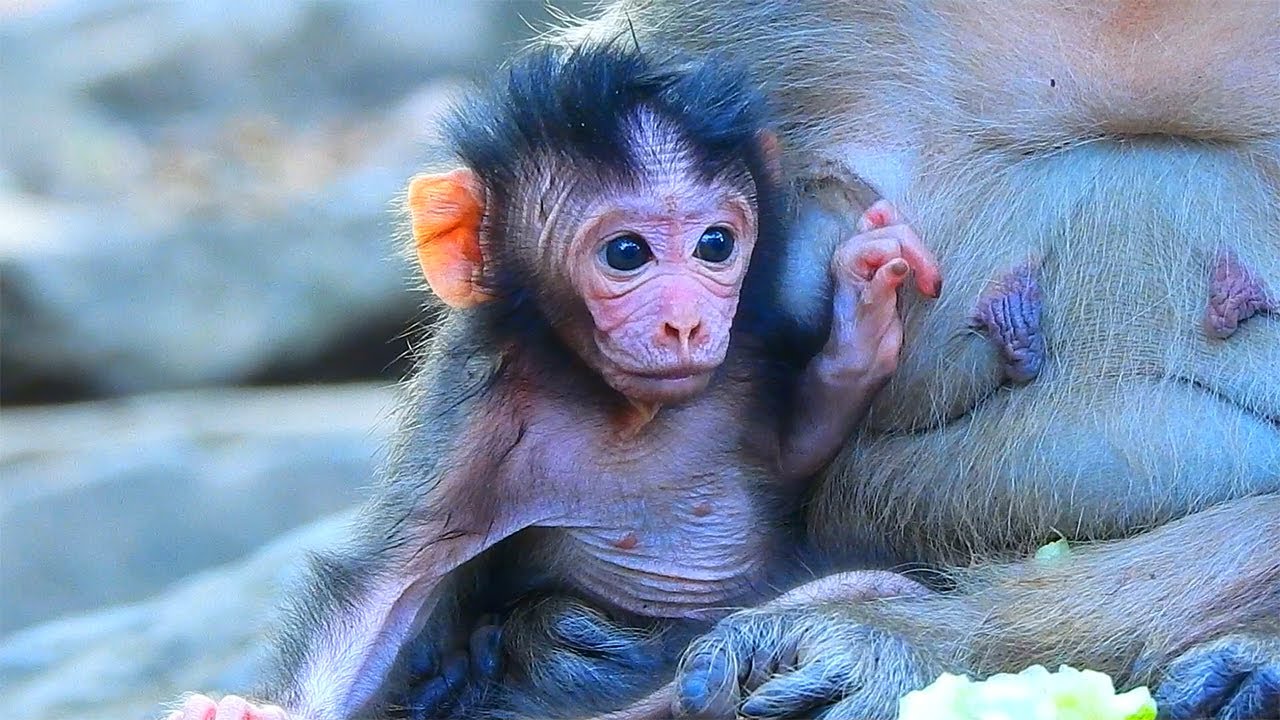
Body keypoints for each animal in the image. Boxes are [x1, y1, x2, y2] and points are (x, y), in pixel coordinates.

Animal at [167, 42, 942, 720]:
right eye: (626, 253)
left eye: (716, 244)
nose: (686, 323)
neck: (627, 408)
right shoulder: (476, 410)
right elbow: (394, 589)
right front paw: (248, 711)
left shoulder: (740, 361)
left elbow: (796, 451)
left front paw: (862, 317)